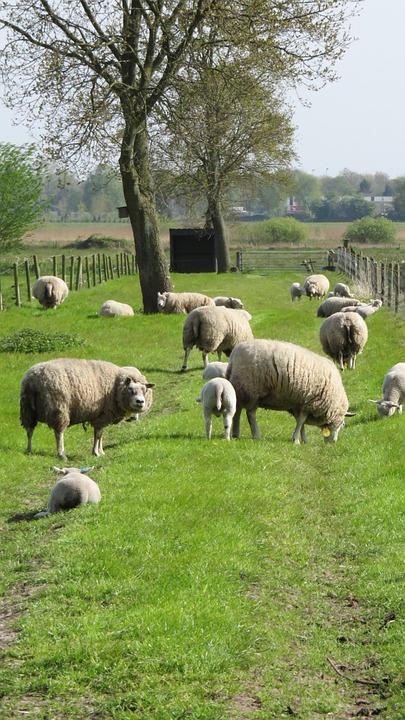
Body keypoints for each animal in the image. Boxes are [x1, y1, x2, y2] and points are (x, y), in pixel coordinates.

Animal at [20, 359, 155, 459]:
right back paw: (61, 454)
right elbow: (98, 435)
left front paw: (101, 451)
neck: (116, 386)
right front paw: (96, 452)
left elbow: (101, 434)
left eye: (145, 390)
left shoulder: (102, 415)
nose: (140, 402)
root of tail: (34, 379)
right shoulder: (103, 415)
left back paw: (29, 450)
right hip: (58, 409)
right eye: (130, 389)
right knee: (59, 433)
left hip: (27, 409)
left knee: (29, 430)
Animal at [226, 339, 354, 444]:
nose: (333, 442)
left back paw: (236, 434)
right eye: (341, 424)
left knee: (238, 410)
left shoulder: (299, 404)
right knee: (250, 413)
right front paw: (296, 439)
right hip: (251, 389)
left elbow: (300, 421)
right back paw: (256, 435)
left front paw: (304, 439)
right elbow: (301, 421)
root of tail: (234, 355)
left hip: (241, 388)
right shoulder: (309, 402)